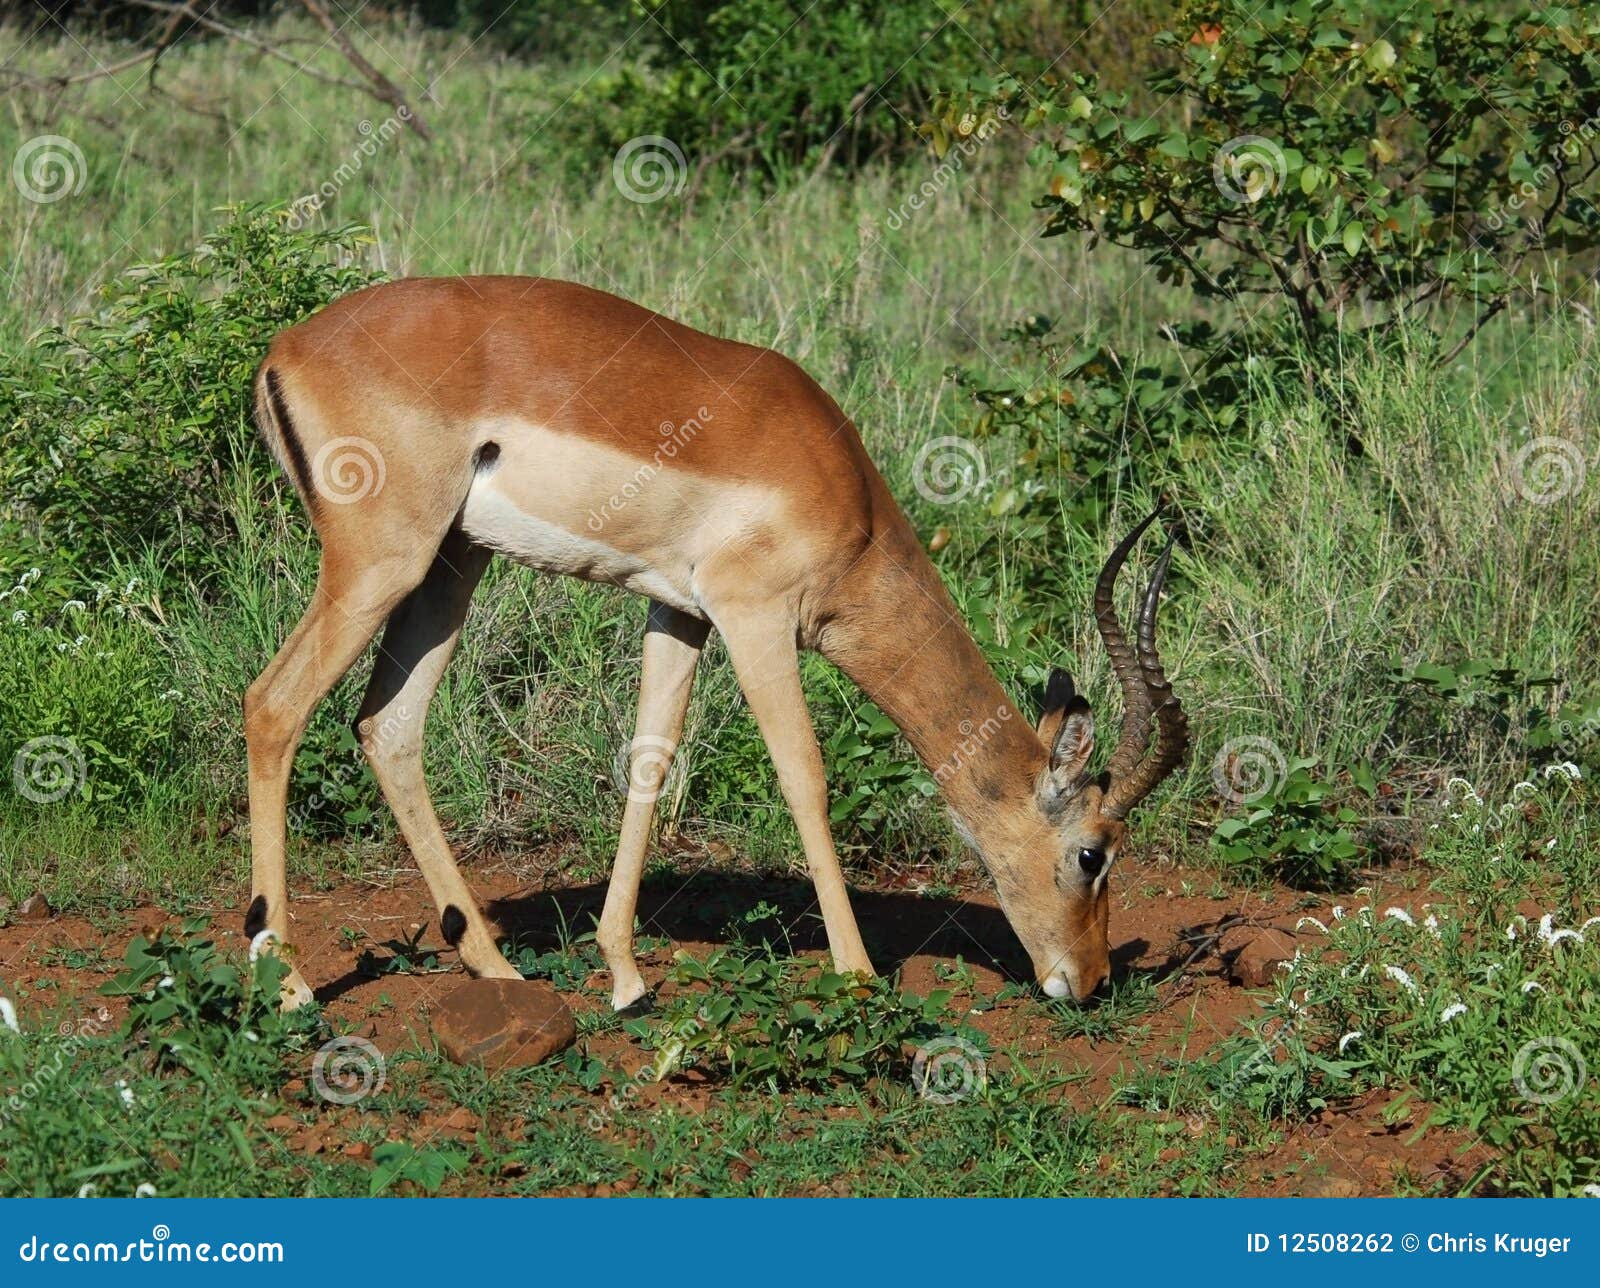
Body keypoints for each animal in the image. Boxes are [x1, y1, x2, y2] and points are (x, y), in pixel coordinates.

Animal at [245, 276, 1188, 1012]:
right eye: (1093, 854)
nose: (1090, 980)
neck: (847, 496)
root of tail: (286, 347)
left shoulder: (681, 613)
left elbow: (650, 761)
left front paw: (625, 976)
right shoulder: (754, 614)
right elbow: (804, 774)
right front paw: (857, 976)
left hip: (451, 565)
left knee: (387, 726)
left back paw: (495, 965)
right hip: (383, 563)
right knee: (274, 705)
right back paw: (288, 982)